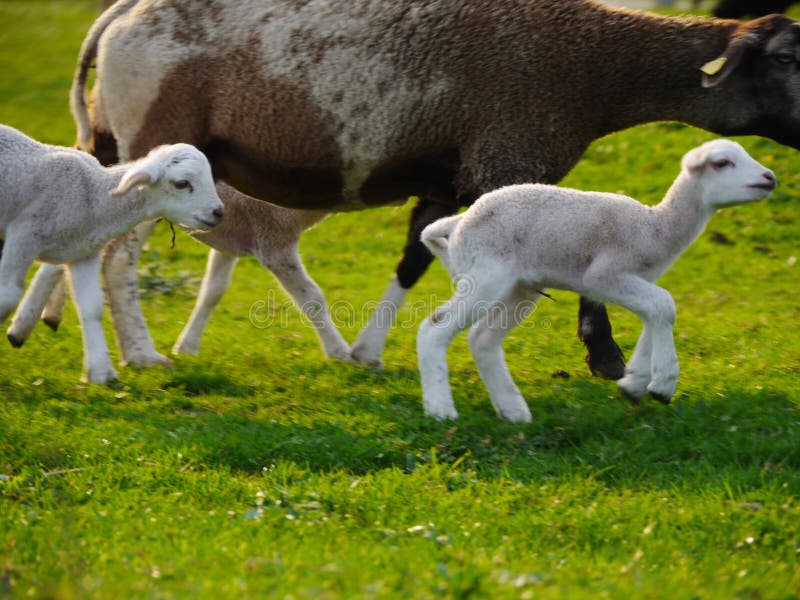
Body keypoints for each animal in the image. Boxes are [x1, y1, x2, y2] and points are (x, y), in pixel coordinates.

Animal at [0, 124, 224, 383]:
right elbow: (8, 296)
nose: (219, 212)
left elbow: (92, 308)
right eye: (181, 183)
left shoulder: (82, 253)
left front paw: (100, 373)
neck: (92, 197)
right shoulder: (23, 236)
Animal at [10, 182, 349, 361]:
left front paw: (186, 345)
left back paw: (32, 323)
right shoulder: (273, 239)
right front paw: (339, 351)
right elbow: (312, 298)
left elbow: (213, 292)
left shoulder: (228, 243)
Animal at [64, 0, 800, 378]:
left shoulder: (451, 177)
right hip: (154, 146)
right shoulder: (510, 157)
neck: (597, 74)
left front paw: (366, 352)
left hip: (113, 143)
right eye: (788, 59)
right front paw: (609, 356)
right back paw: (141, 355)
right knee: (117, 256)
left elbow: (415, 257)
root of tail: (120, 17)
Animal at [416, 139, 776, 422]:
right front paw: (662, 383)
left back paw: (513, 411)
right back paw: (441, 410)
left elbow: (654, 314)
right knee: (433, 328)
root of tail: (458, 223)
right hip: (485, 274)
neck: (656, 227)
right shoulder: (603, 275)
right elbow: (664, 304)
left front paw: (634, 383)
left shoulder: (639, 277)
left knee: (482, 339)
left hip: (518, 288)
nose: (769, 178)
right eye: (722, 163)